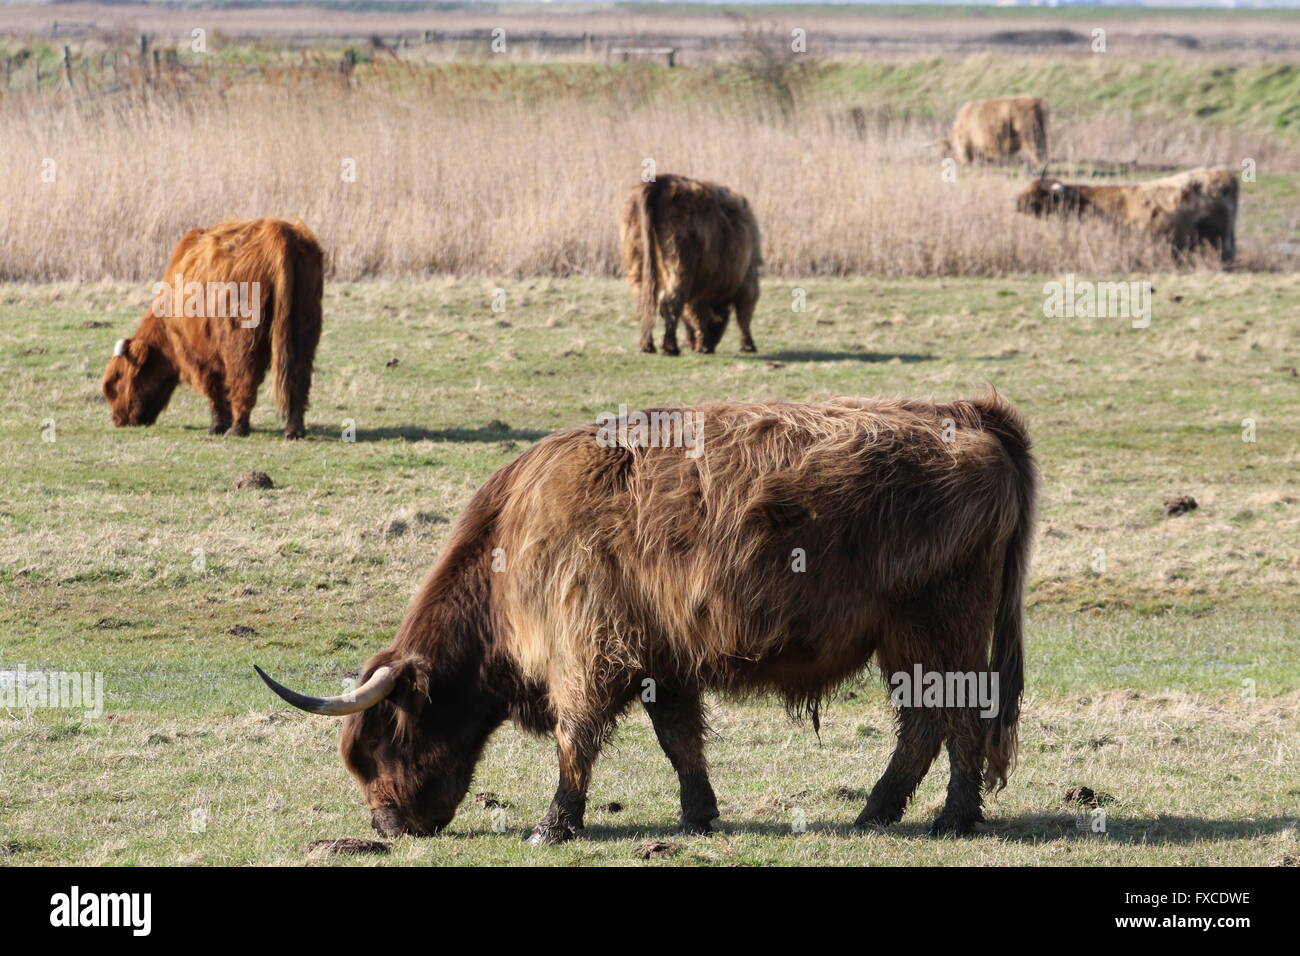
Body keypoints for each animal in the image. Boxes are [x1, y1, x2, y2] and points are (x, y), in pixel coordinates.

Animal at [102, 218, 324, 439]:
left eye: (117, 379)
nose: (117, 419)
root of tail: (277, 230)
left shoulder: (199, 355)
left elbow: (215, 390)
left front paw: (217, 426)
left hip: (240, 340)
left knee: (244, 379)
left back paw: (237, 428)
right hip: (304, 325)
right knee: (299, 377)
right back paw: (294, 430)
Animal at [256, 393, 1036, 843]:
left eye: (382, 741)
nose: (387, 826)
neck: (510, 542)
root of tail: (974, 413)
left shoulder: (587, 649)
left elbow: (577, 737)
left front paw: (554, 825)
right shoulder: (663, 656)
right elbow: (679, 739)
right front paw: (698, 814)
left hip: (940, 629)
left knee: (955, 719)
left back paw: (951, 818)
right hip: (912, 639)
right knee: (925, 725)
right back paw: (877, 812)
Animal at [620, 173, 761, 356]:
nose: (694, 344)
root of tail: (661, 181)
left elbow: (694, 314)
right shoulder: (749, 279)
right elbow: (744, 314)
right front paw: (748, 345)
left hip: (638, 263)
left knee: (645, 303)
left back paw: (647, 345)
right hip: (679, 264)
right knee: (670, 303)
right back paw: (670, 348)